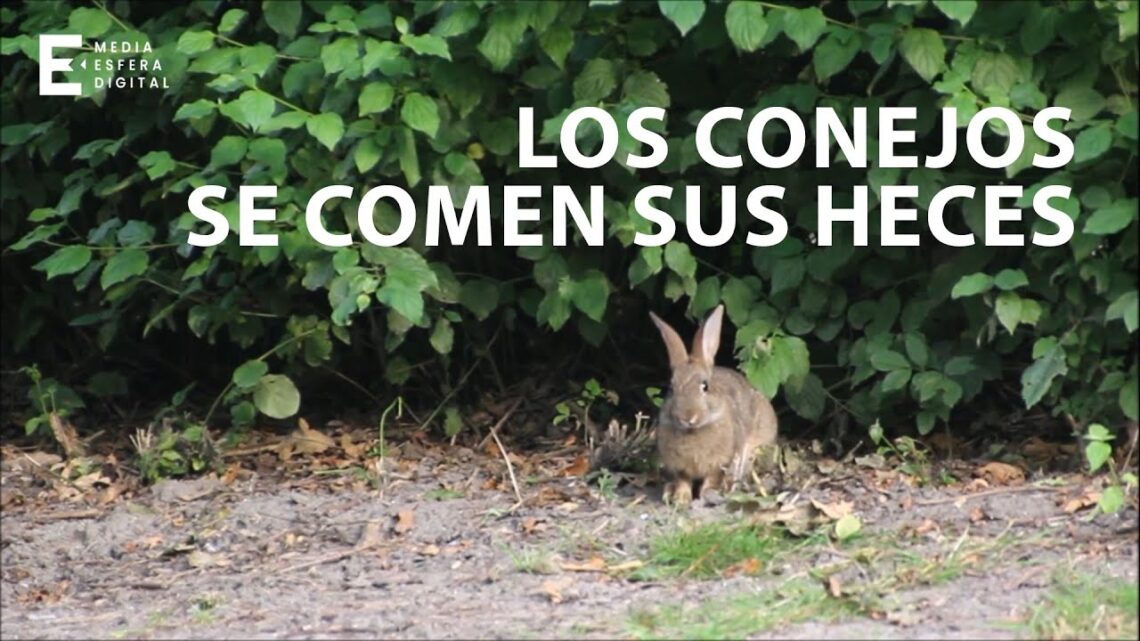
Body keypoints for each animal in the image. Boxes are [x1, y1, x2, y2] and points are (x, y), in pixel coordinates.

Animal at [650, 304, 778, 506]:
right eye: (671, 387)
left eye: (705, 386)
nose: (687, 417)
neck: (694, 431)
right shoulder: (678, 467)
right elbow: (683, 481)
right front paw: (680, 498)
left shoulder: (722, 462)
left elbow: (712, 478)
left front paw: (706, 494)